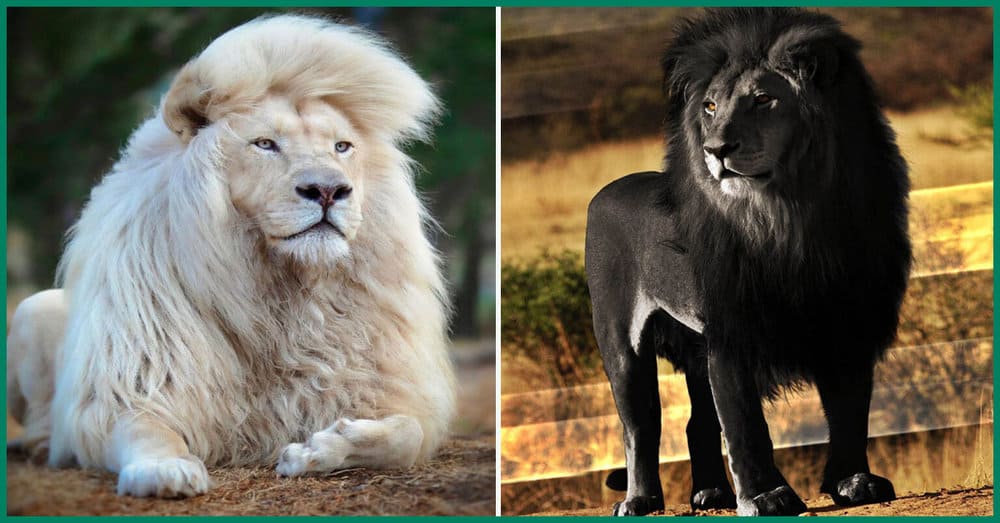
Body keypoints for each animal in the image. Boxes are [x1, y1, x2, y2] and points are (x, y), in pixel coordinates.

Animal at [7, 14, 455, 498]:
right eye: (265, 144)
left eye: (342, 147)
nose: (328, 190)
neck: (284, 293)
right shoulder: (124, 389)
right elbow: (146, 428)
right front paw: (165, 470)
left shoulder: (380, 388)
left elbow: (408, 434)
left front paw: (318, 451)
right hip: (34, 309)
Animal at [585, 8, 910, 516]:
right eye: (710, 107)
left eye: (762, 100)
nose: (715, 150)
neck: (791, 218)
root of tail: (607, 190)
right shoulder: (730, 328)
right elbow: (745, 424)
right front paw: (766, 497)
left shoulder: (848, 320)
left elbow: (850, 410)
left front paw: (854, 482)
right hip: (620, 340)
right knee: (640, 425)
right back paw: (640, 501)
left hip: (692, 347)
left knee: (696, 423)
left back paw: (711, 495)